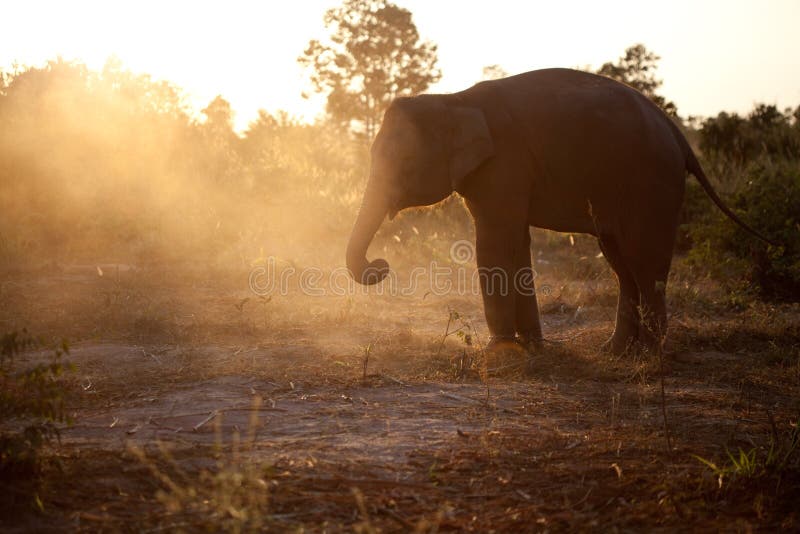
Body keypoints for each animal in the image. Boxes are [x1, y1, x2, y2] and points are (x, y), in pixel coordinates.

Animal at [345, 68, 770, 355]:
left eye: (402, 163)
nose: (380, 265)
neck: (455, 98)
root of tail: (678, 134)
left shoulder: (504, 165)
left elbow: (495, 241)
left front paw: (497, 352)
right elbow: (515, 241)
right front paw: (531, 348)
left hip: (651, 185)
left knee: (644, 262)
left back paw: (649, 356)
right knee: (622, 264)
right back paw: (615, 353)